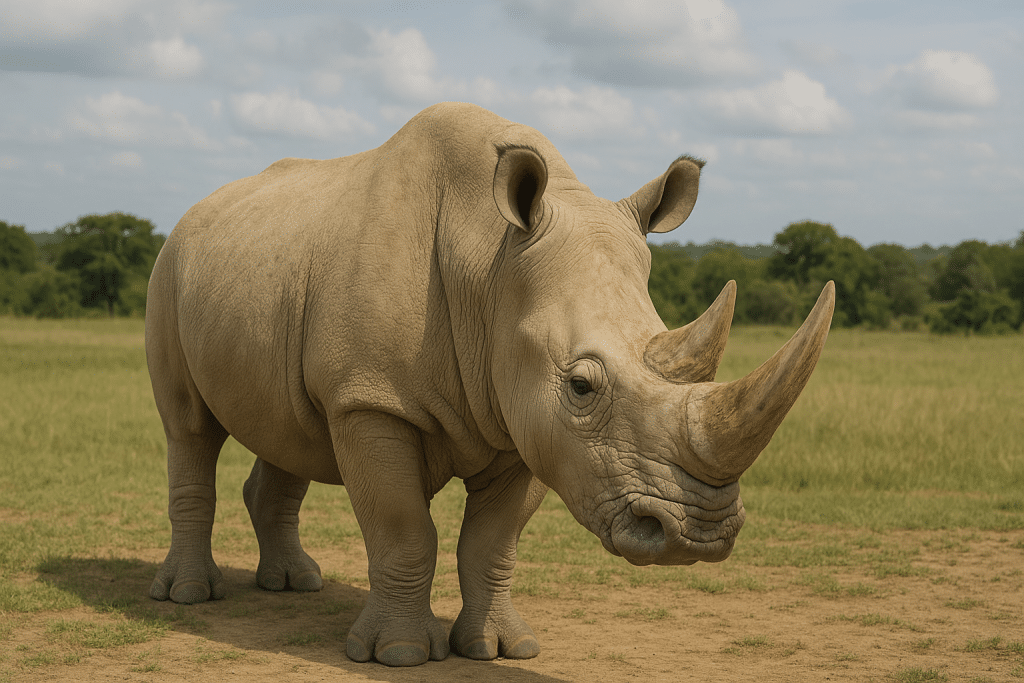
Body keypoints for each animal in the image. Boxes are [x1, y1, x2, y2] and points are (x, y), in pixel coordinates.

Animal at [145, 102, 834, 667]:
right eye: (581, 387)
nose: (700, 534)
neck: (490, 261)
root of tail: (191, 212)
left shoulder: (523, 418)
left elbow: (492, 542)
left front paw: (500, 649)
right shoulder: (371, 400)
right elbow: (402, 527)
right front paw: (399, 654)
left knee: (289, 431)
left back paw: (294, 584)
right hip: (170, 265)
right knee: (188, 428)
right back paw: (188, 596)